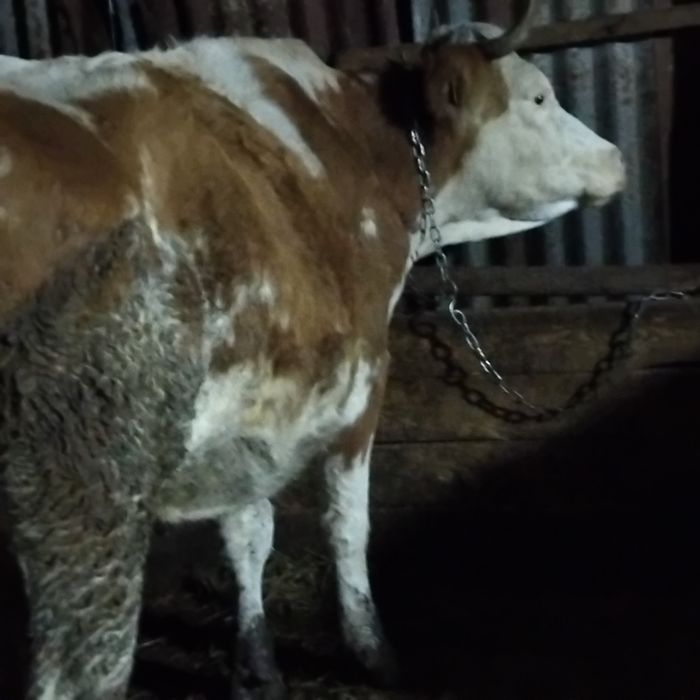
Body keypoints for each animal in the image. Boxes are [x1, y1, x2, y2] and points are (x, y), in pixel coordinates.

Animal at [0, 3, 625, 698]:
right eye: (539, 96)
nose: (617, 158)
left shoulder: (257, 395)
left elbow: (248, 531)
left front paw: (257, 662)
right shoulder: (364, 377)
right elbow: (347, 524)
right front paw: (372, 651)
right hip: (84, 488)